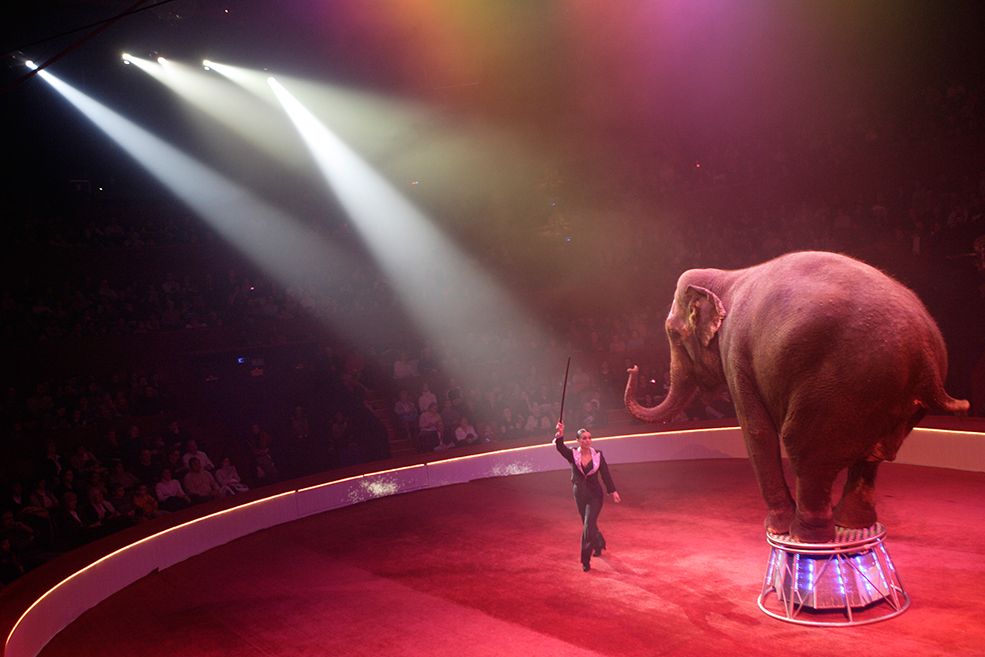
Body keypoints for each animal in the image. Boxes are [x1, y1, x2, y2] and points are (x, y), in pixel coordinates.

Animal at [625, 251, 969, 542]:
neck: (727, 276)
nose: (633, 367)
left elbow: (756, 431)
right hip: (887, 396)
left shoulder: (735, 351)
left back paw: (804, 536)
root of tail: (925, 352)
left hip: (841, 386)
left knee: (804, 447)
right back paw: (851, 525)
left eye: (672, 332)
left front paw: (774, 528)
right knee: (871, 456)